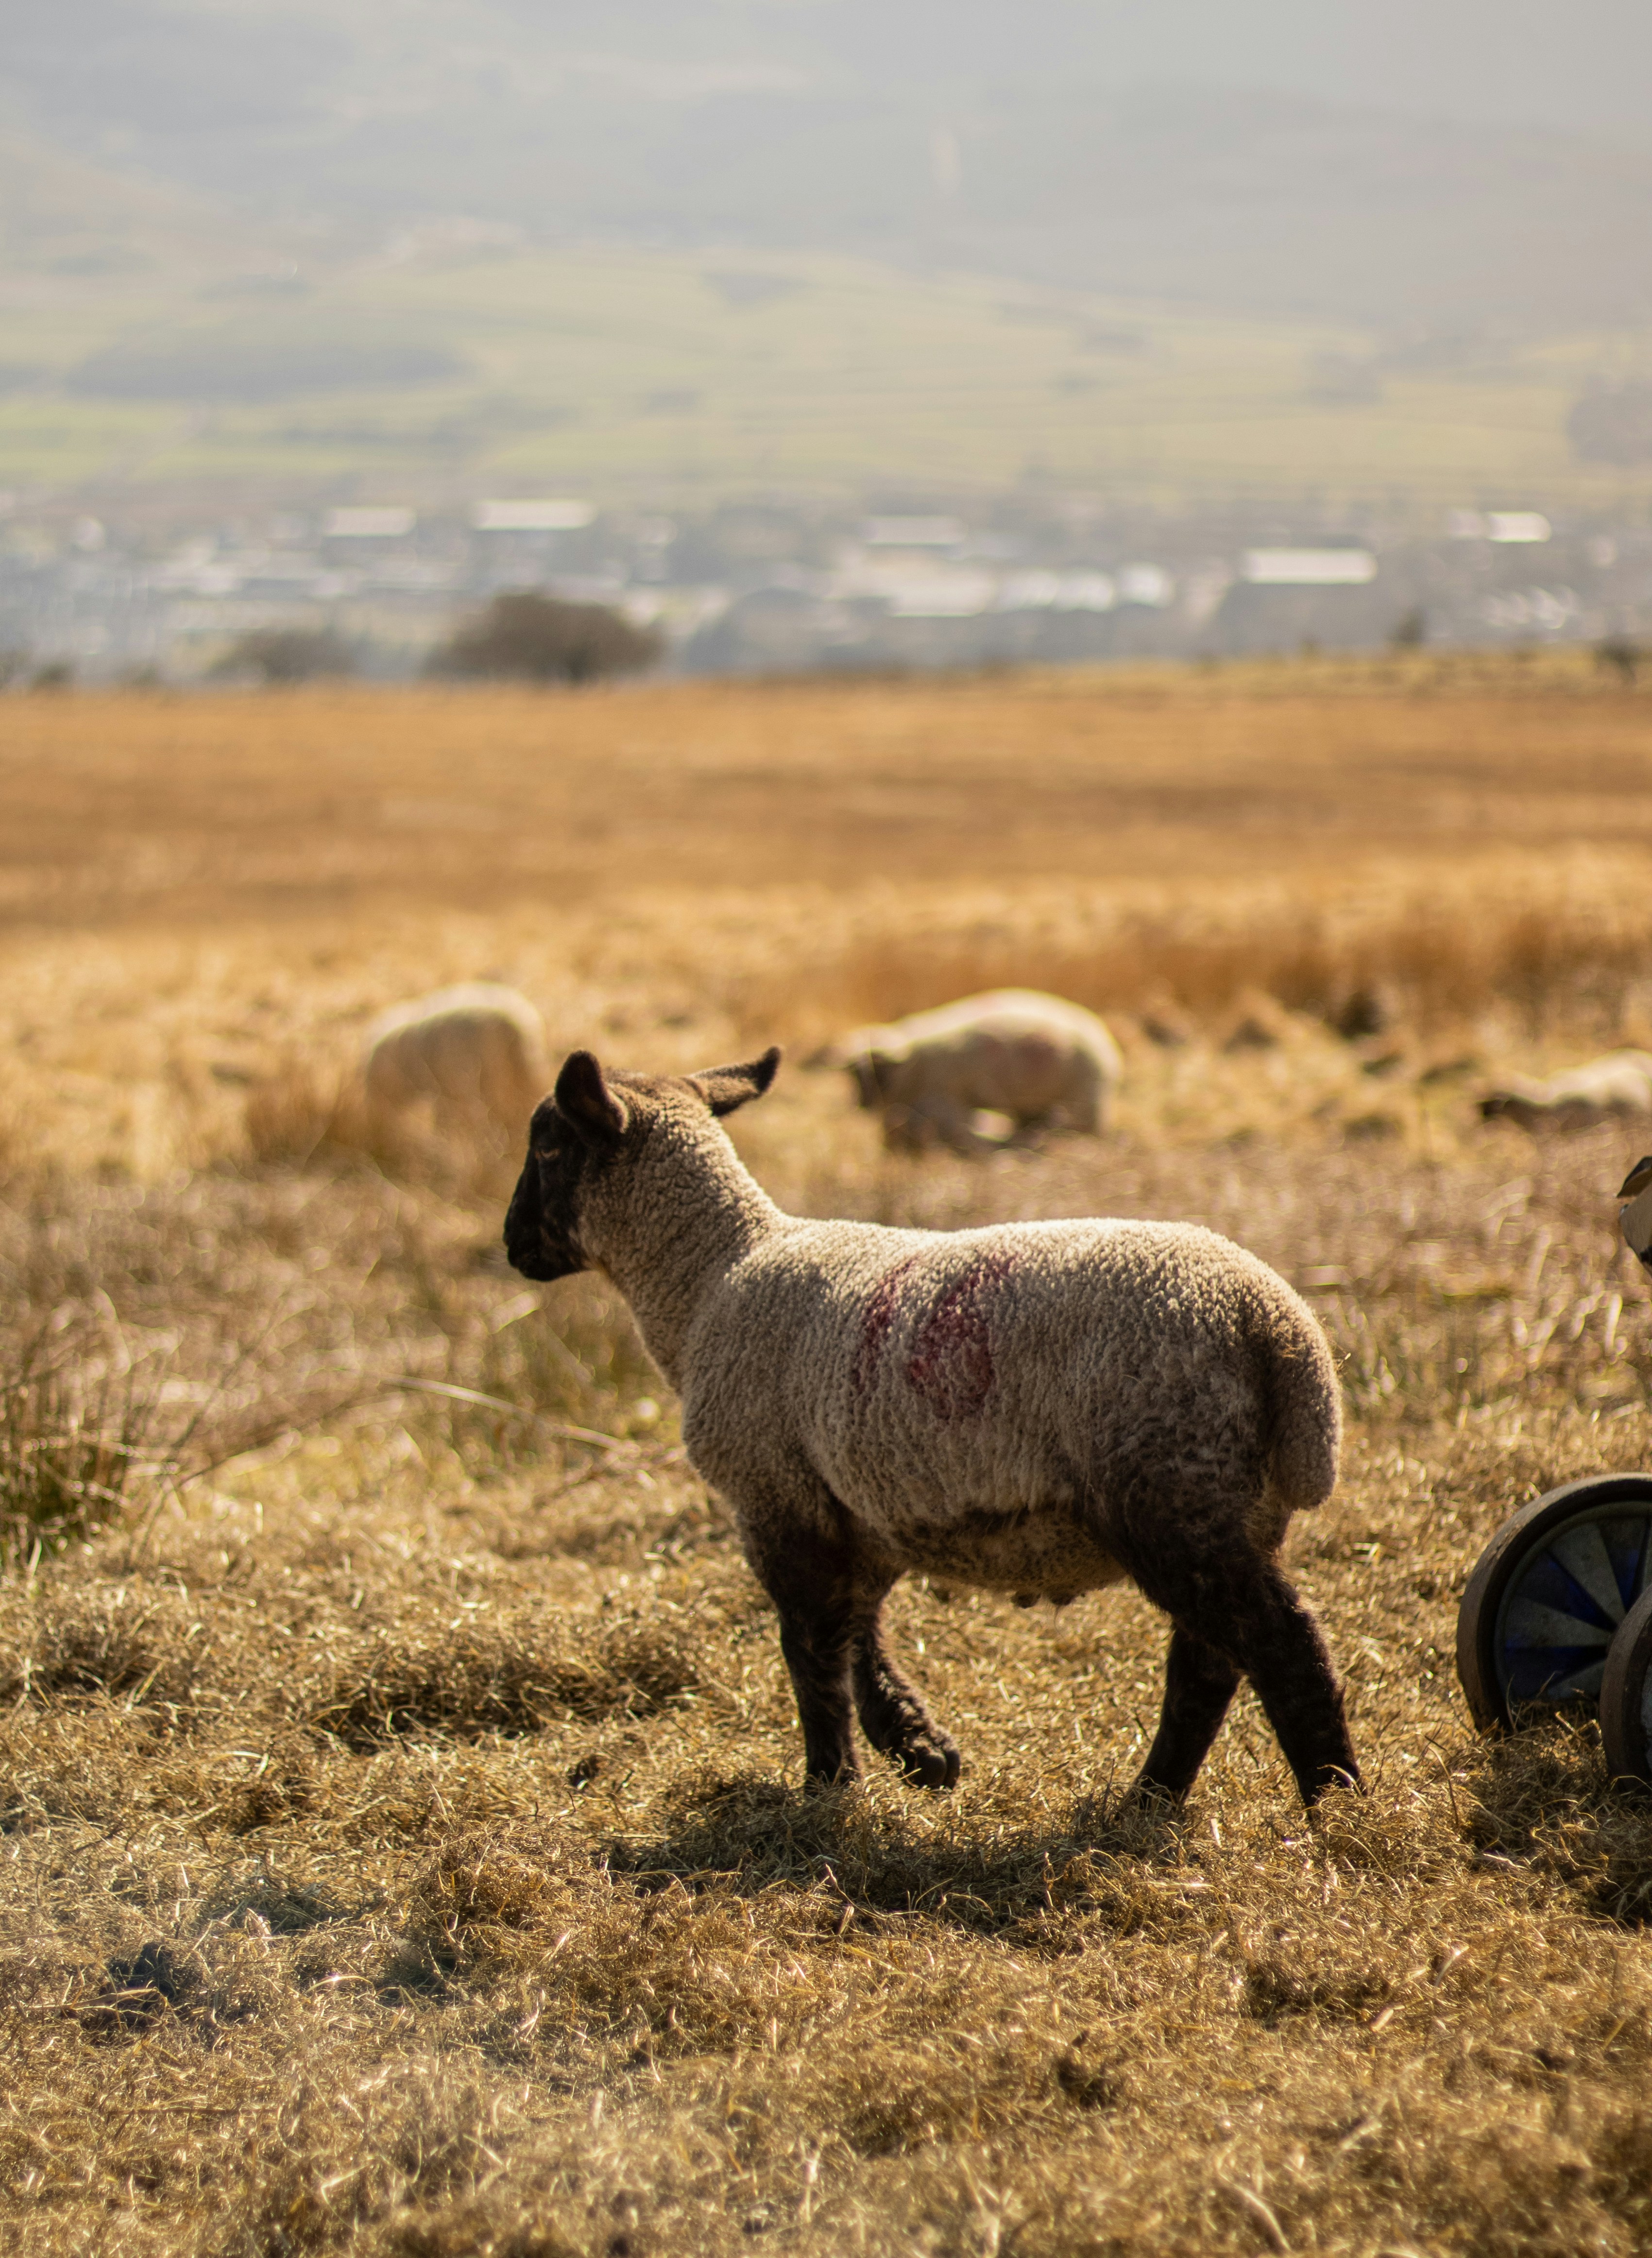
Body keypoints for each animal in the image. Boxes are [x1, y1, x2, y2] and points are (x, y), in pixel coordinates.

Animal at [505, 1045, 1359, 1809]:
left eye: (546, 1144)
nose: (512, 1245)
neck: (711, 1278)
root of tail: (1276, 1330)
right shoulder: (856, 1508)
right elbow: (857, 1636)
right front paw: (920, 1751)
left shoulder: (775, 1495)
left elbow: (809, 1649)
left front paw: (828, 1788)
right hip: (1236, 1503)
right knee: (1208, 1664)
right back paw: (1149, 1802)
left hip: (1169, 1484)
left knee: (1279, 1646)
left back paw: (1333, 1805)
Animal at [833, 988, 1122, 1154]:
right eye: (854, 1075)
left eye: (874, 1073)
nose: (860, 1104)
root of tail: (1109, 1048)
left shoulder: (946, 1100)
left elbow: (959, 1132)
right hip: (1036, 1104)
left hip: (1085, 1098)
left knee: (1087, 1132)